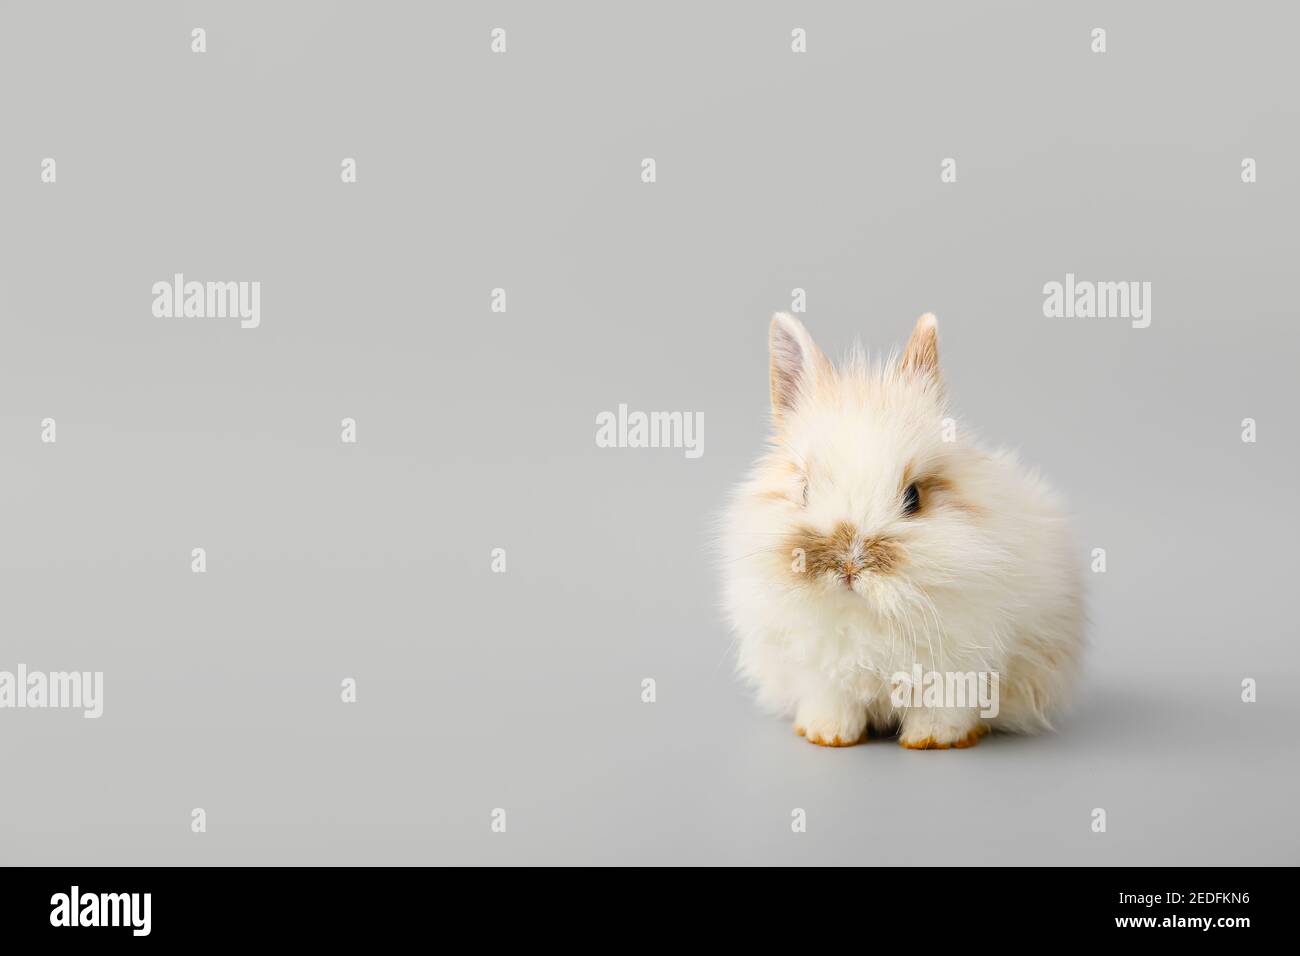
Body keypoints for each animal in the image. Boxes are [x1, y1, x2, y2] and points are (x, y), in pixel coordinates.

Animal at [719, 312, 1084, 749]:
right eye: (804, 490)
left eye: (913, 497)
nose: (849, 564)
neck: (866, 615)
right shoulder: (818, 671)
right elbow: (832, 700)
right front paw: (827, 734)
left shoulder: (958, 668)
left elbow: (944, 706)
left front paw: (933, 739)